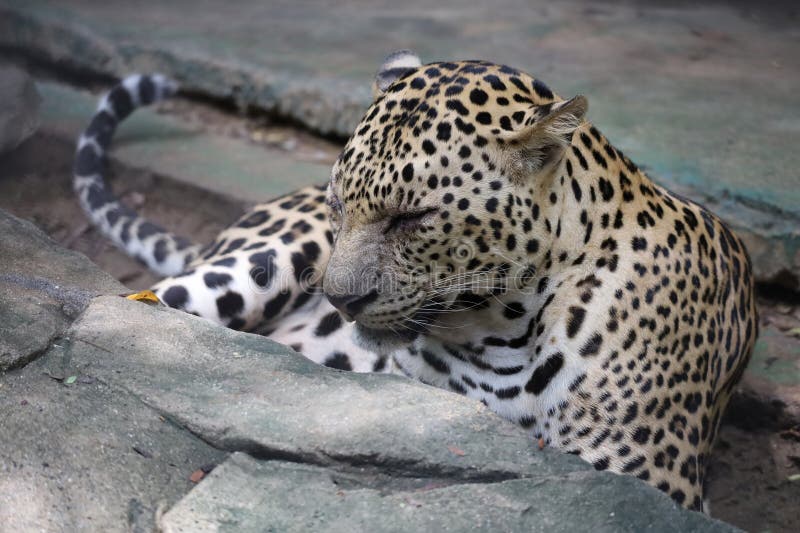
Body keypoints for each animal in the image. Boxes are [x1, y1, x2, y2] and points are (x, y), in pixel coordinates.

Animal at [72, 51, 758, 511]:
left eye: (414, 217)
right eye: (339, 203)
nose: (341, 300)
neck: (505, 330)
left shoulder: (642, 479)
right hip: (258, 264)